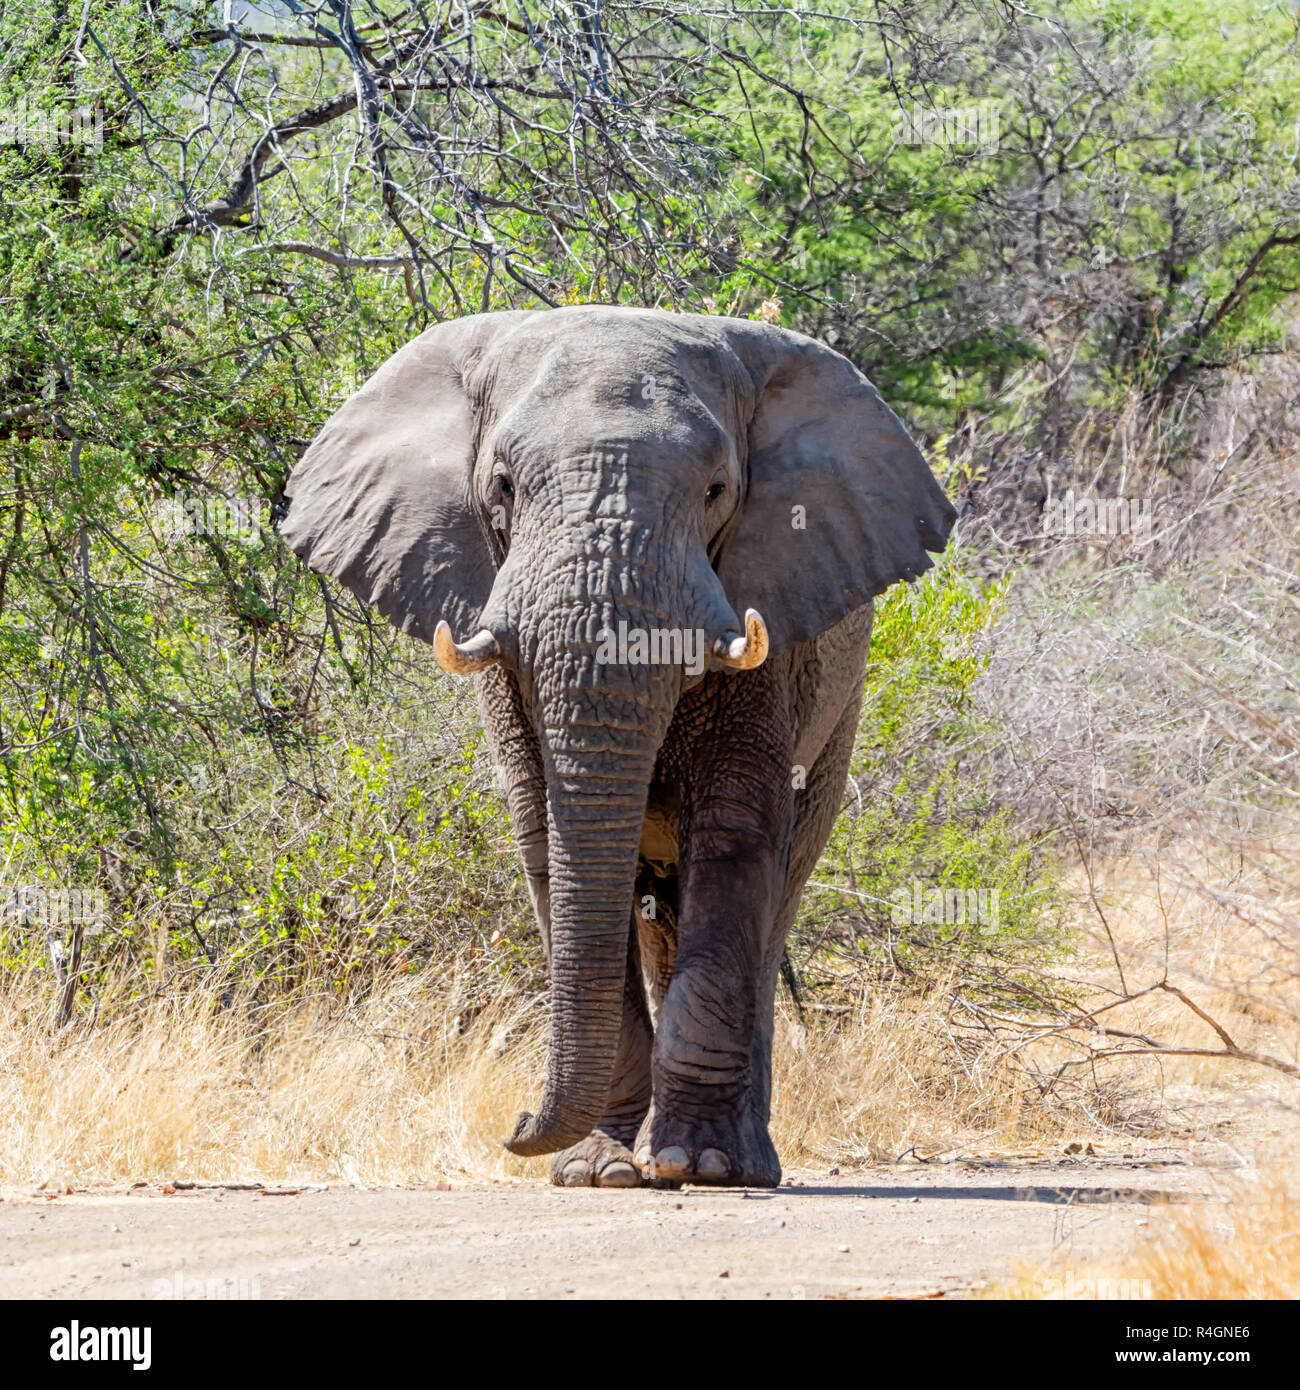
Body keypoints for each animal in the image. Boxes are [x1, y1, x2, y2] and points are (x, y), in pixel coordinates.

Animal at [279, 306, 956, 1188]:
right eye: (503, 485)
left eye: (716, 491)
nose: (515, 1126)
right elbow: (547, 840)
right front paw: (597, 1172)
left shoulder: (769, 620)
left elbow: (734, 841)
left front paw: (697, 1164)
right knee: (657, 914)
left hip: (839, 716)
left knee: (772, 894)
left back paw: (744, 1162)